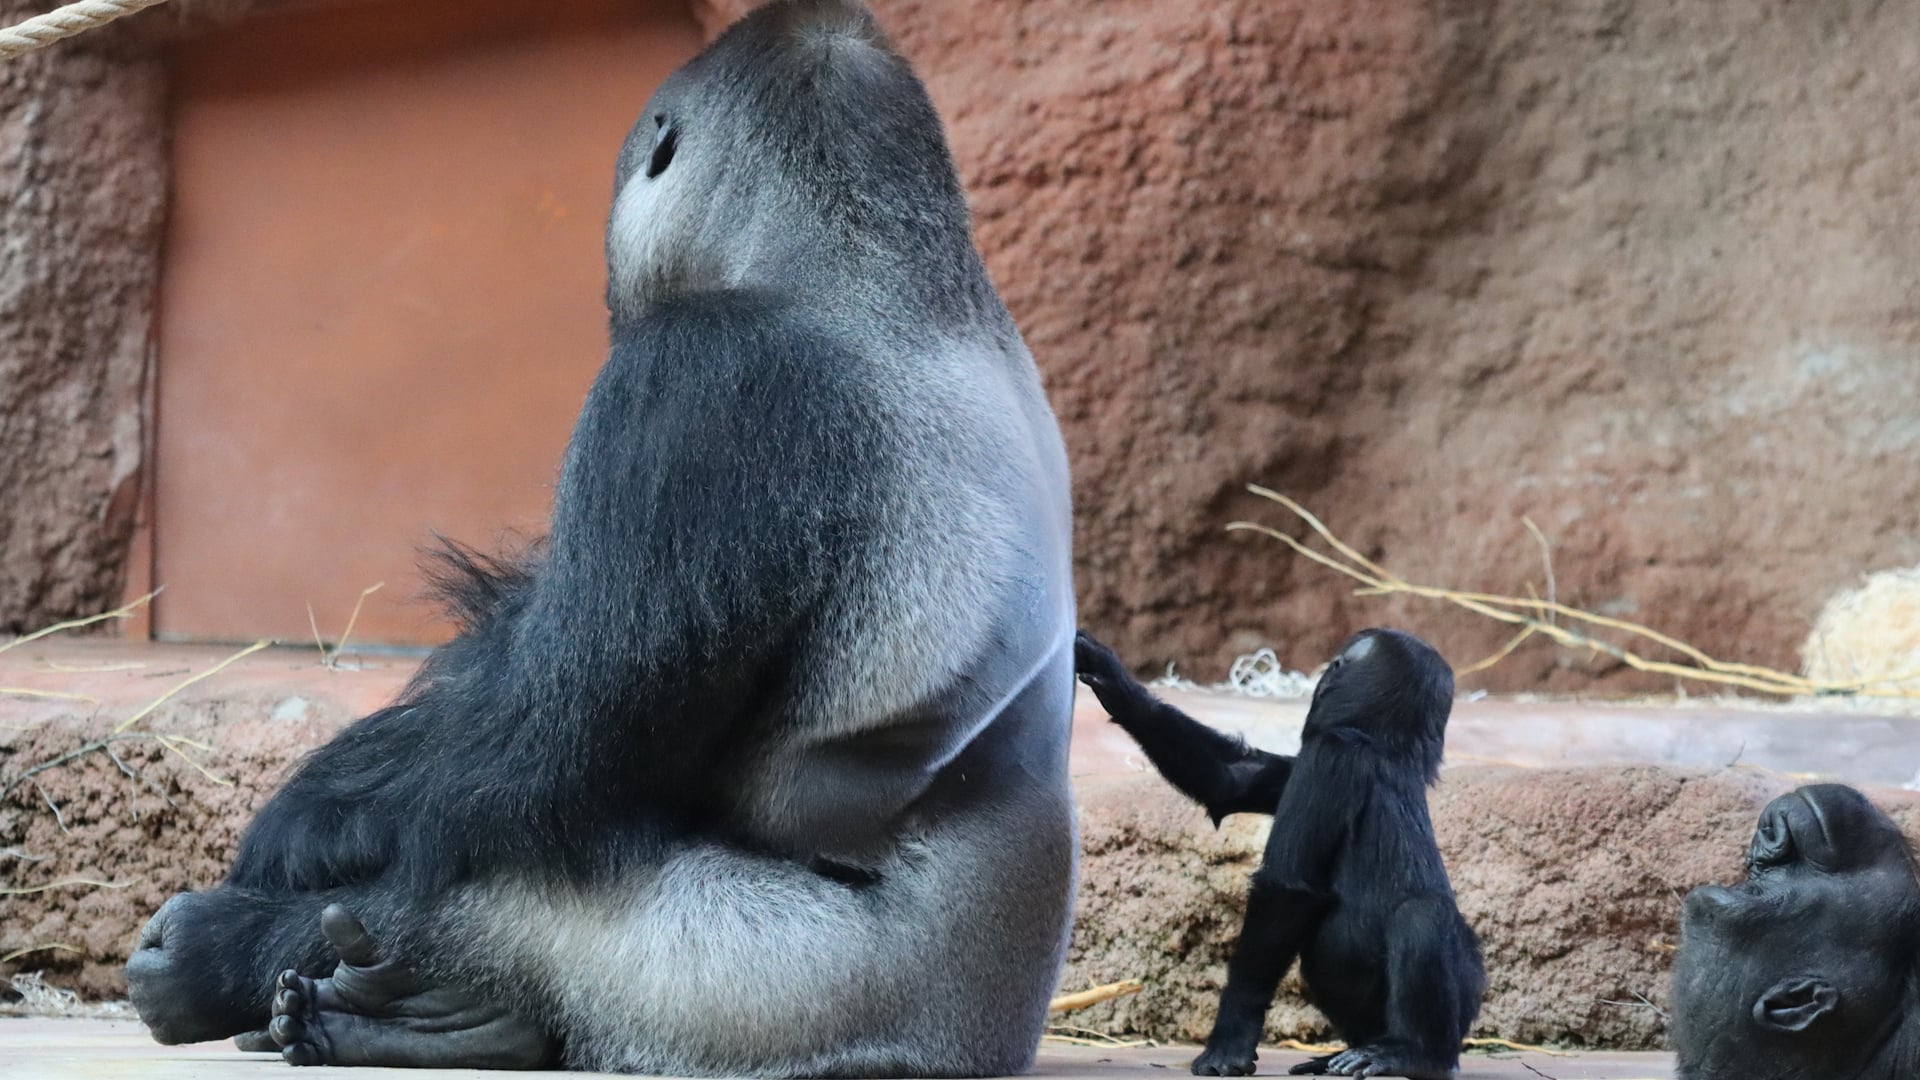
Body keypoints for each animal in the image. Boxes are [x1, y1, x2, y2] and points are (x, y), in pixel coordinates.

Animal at [122, 2, 1080, 1073]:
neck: (878, 271)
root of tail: (999, 1031)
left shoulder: (698, 373)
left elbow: (550, 740)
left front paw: (302, 827)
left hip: (785, 997)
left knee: (509, 866)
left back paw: (293, 975)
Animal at [1075, 629, 1484, 1079]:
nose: (1323, 677)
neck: (1387, 746)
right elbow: (1229, 779)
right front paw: (1114, 681)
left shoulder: (1331, 755)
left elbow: (1285, 890)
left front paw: (1231, 1036)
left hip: (1465, 1000)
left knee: (1422, 916)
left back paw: (1415, 1054)